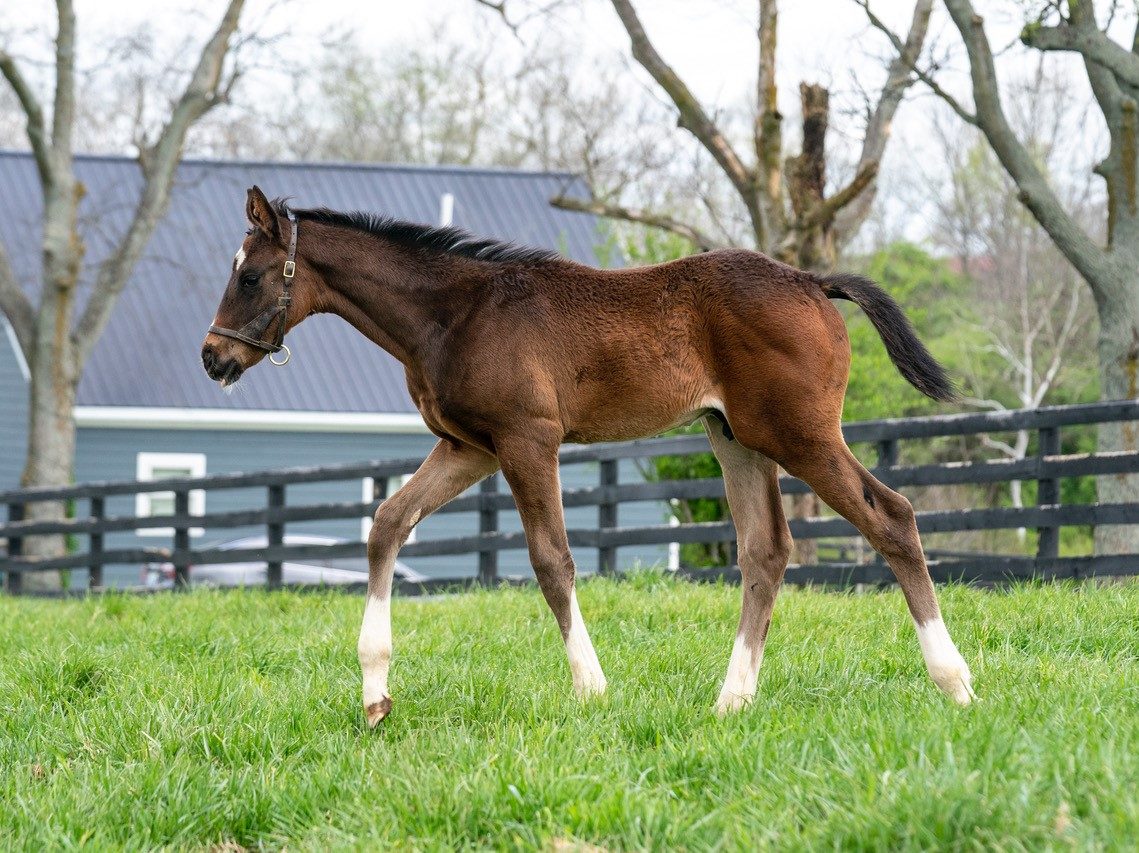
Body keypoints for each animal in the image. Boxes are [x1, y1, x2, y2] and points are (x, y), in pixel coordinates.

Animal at [202, 186, 975, 728]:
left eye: (251, 277)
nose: (213, 358)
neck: (453, 313)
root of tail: (813, 281)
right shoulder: (469, 447)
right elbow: (388, 523)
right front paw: (375, 694)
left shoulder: (526, 439)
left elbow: (551, 560)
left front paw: (590, 687)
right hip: (734, 437)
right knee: (765, 550)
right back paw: (732, 700)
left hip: (800, 434)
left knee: (891, 515)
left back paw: (955, 682)